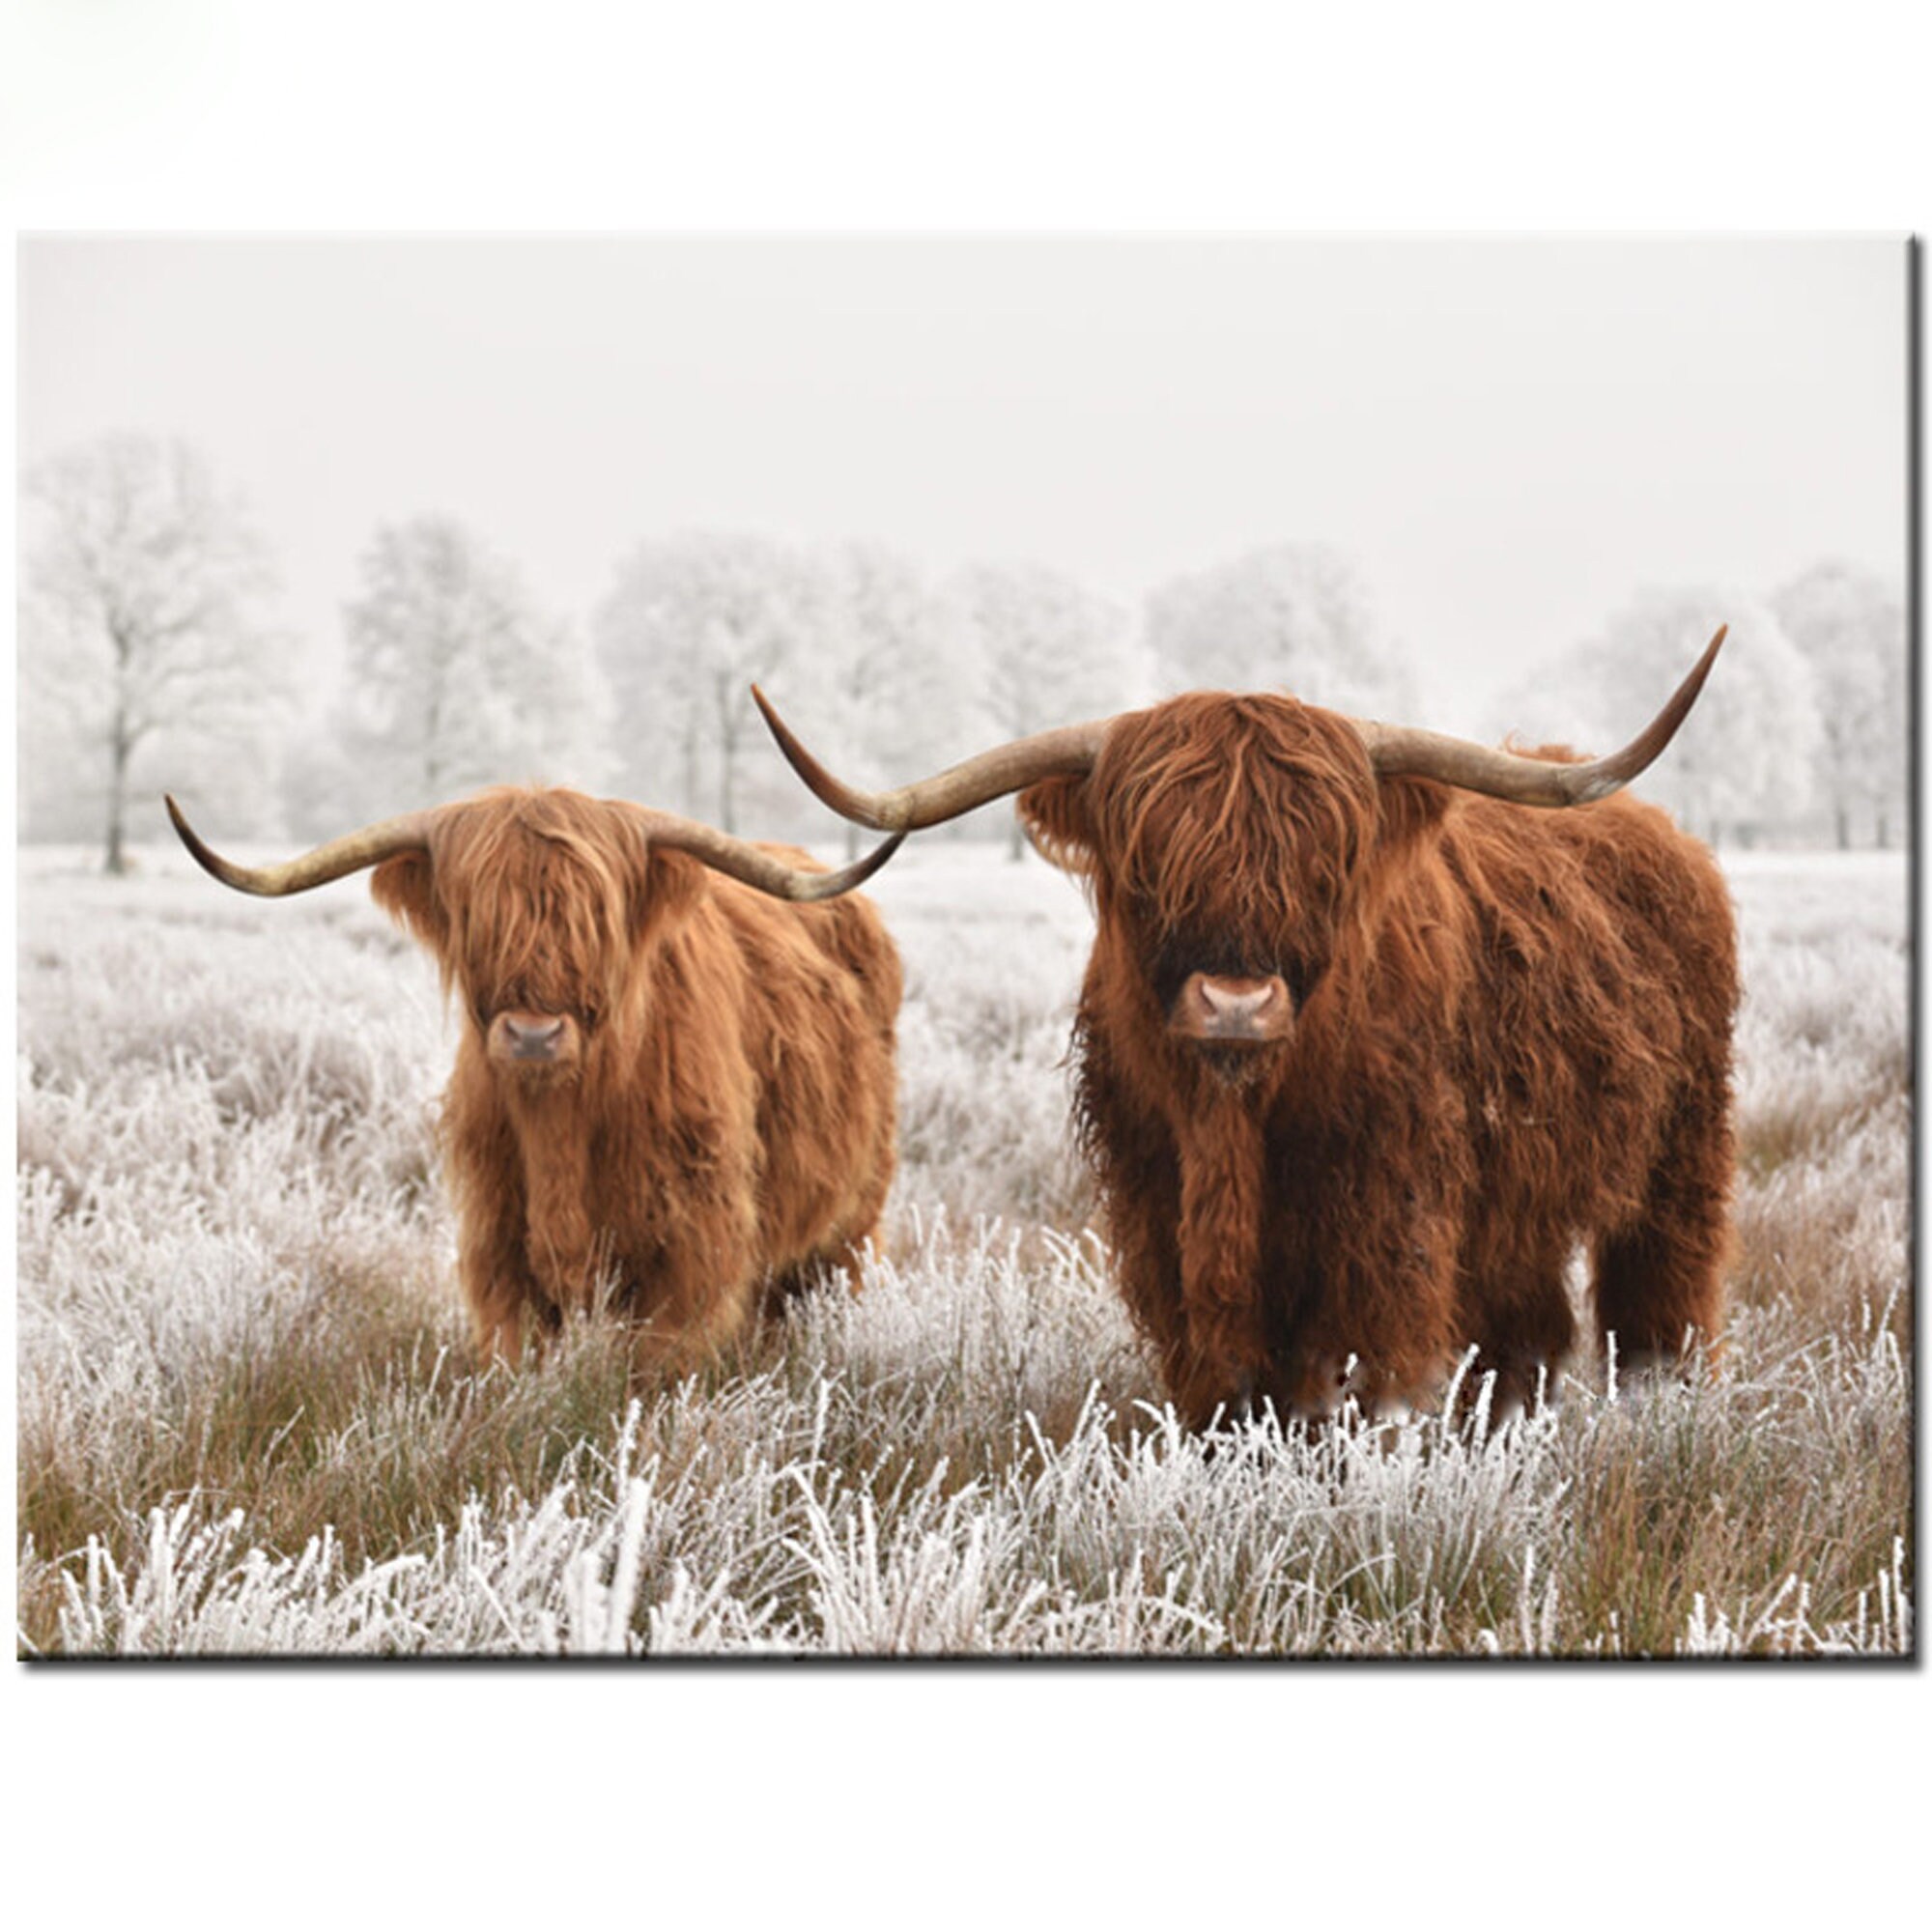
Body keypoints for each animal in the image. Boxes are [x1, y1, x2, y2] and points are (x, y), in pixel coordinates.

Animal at [167, 786, 904, 1375]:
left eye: (595, 919)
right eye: (477, 916)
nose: (532, 1034)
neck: (562, 1124)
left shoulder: (692, 1249)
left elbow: (656, 1372)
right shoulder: (498, 1246)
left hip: (850, 1222)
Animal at [752, 629, 1736, 1427]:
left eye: (1324, 867)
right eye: (1147, 867)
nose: (1234, 1003)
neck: (1235, 1122)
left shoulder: (1389, 1220)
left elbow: (1356, 1385)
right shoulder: (1159, 1211)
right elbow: (1222, 1388)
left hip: (1681, 1150)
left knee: (1658, 1297)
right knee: (1528, 1333)